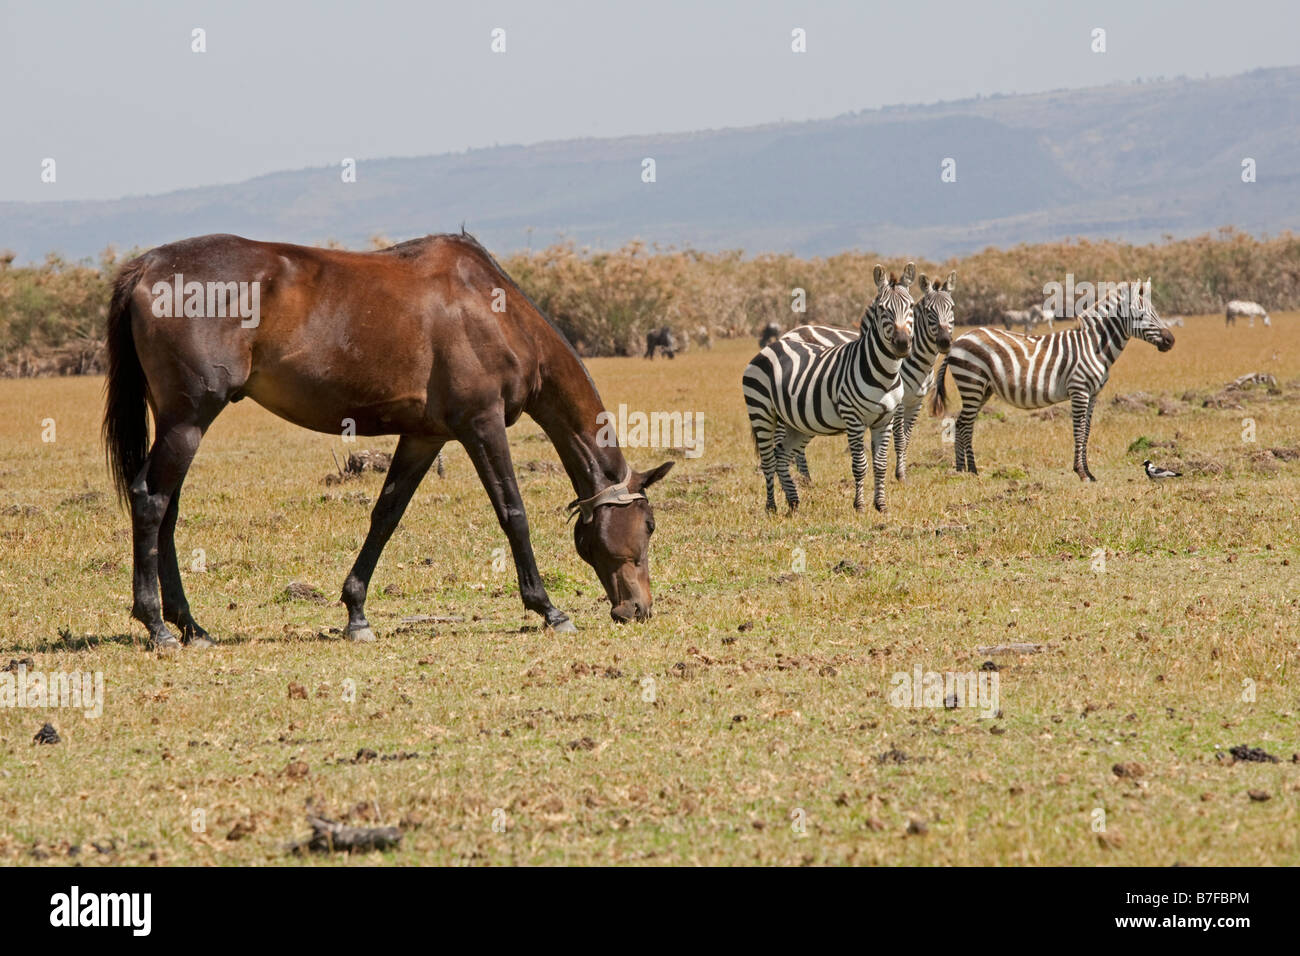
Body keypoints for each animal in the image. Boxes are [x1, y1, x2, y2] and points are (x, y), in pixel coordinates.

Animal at [102, 232, 673, 650]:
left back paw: (191, 626)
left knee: (167, 510)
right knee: (151, 501)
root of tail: (147, 266)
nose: (638, 609)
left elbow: (386, 515)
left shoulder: (424, 436)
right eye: (647, 525)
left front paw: (356, 612)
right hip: (189, 420)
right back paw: (158, 626)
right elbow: (513, 514)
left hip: (178, 422)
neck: (495, 312)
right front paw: (548, 609)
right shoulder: (482, 425)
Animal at [742, 263, 915, 513]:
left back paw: (793, 502)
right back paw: (771, 507)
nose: (902, 344)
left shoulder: (886, 419)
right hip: (761, 412)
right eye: (883, 309)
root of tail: (771, 346)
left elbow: (880, 464)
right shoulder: (854, 419)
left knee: (781, 455)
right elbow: (860, 464)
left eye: (911, 306)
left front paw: (881, 505)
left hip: (797, 424)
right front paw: (859, 506)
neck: (884, 373)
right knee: (768, 460)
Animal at [780, 270, 957, 484]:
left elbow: (906, 438)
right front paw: (899, 475)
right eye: (929, 311)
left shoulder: (916, 402)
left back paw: (804, 479)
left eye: (952, 308)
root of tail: (789, 333)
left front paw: (898, 474)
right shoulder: (897, 404)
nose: (945, 342)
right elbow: (899, 439)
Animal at [932, 279, 1173, 481]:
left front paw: (1089, 472)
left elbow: (1087, 431)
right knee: (965, 425)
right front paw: (1081, 473)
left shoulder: (1093, 393)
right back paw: (971, 471)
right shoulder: (1079, 390)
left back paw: (962, 470)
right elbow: (1078, 431)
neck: (1094, 346)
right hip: (972, 383)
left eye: (1155, 312)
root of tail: (958, 340)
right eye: (1141, 316)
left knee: (961, 423)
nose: (1170, 340)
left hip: (983, 389)